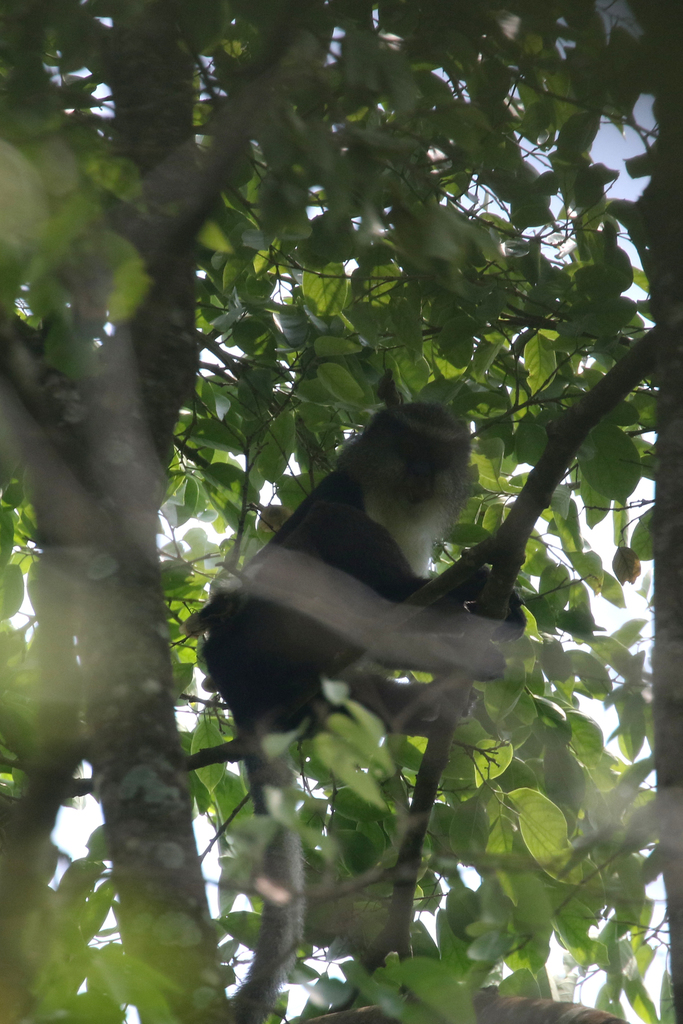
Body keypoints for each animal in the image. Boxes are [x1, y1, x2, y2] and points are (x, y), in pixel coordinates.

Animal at [192, 403, 525, 1024]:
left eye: (438, 457)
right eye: (407, 448)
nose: (420, 474)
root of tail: (237, 691)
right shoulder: (344, 489)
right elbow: (330, 513)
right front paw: (463, 590)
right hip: (273, 622)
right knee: (328, 533)